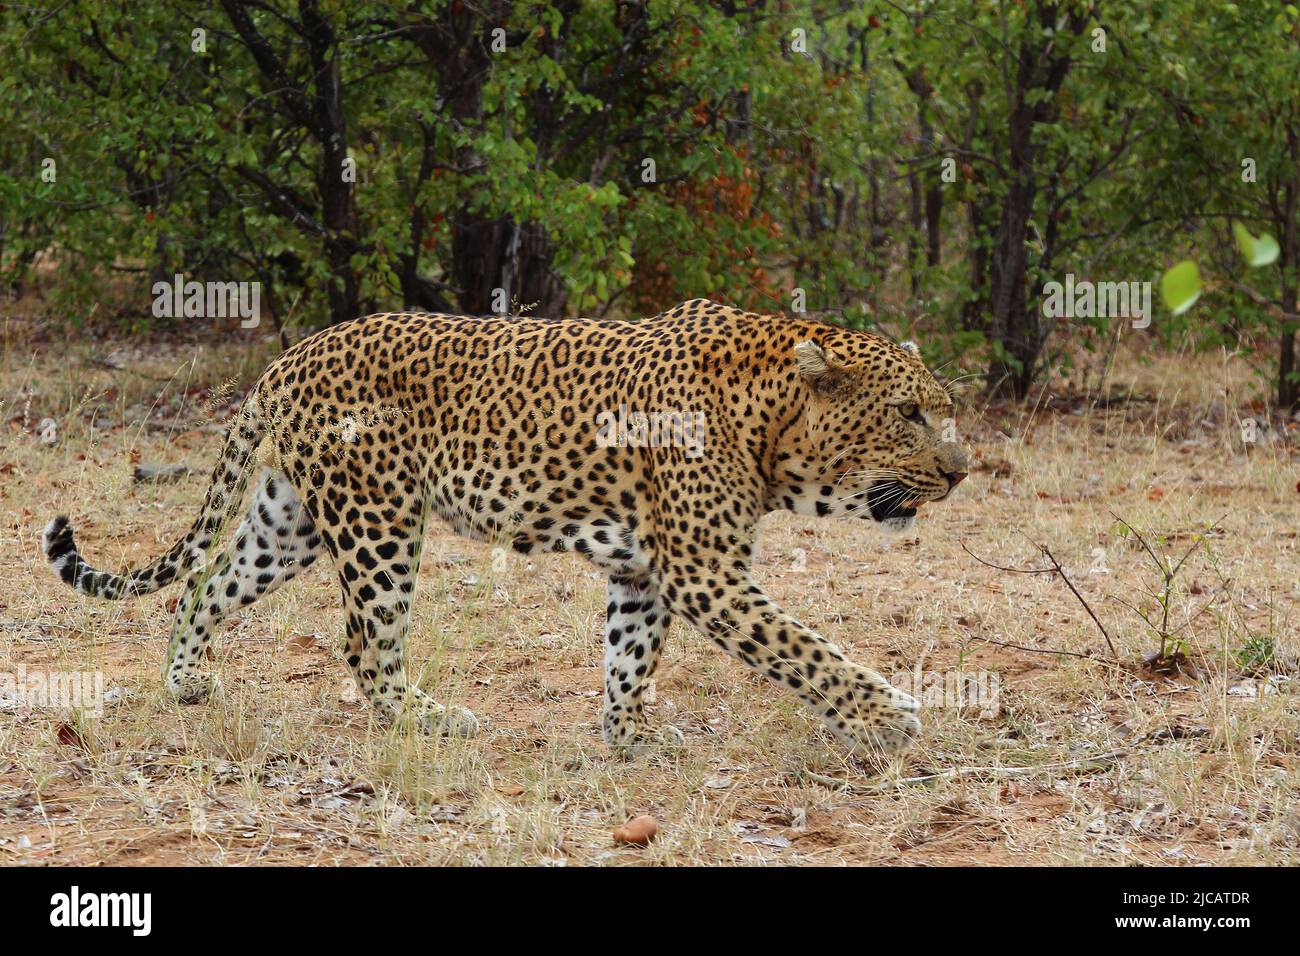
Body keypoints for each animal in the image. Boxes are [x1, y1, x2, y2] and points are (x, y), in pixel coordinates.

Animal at [43, 298, 969, 757]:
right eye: (910, 414)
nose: (962, 470)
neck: (772, 421)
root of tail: (285, 359)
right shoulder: (705, 571)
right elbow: (803, 648)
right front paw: (888, 717)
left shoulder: (646, 567)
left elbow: (630, 654)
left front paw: (629, 734)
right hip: (378, 519)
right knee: (365, 644)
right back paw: (430, 720)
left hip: (291, 518)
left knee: (205, 584)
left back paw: (187, 683)